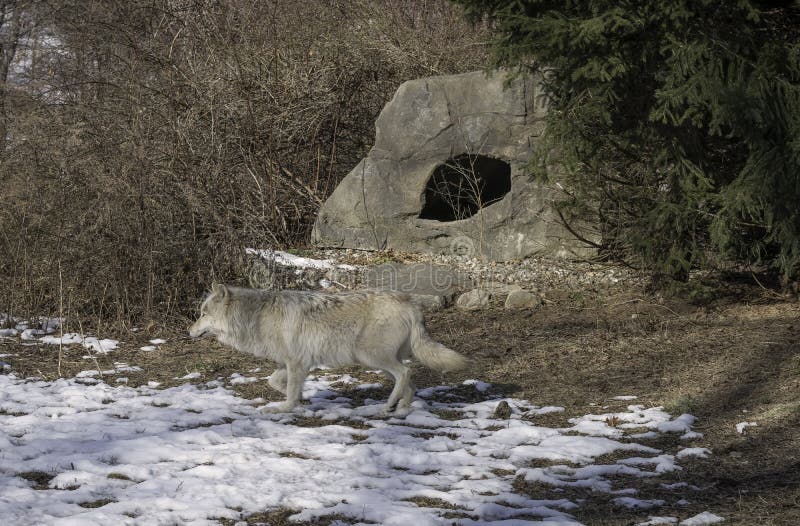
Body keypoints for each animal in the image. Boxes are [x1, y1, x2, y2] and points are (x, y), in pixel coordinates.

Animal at [189, 284, 468, 414]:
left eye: (203, 314)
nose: (189, 332)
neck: (254, 317)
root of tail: (411, 303)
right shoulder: (291, 363)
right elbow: (274, 382)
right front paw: (302, 399)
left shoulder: (296, 363)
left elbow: (288, 391)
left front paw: (285, 407)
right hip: (378, 362)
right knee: (409, 380)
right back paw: (401, 408)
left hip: (371, 357)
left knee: (406, 373)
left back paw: (387, 406)